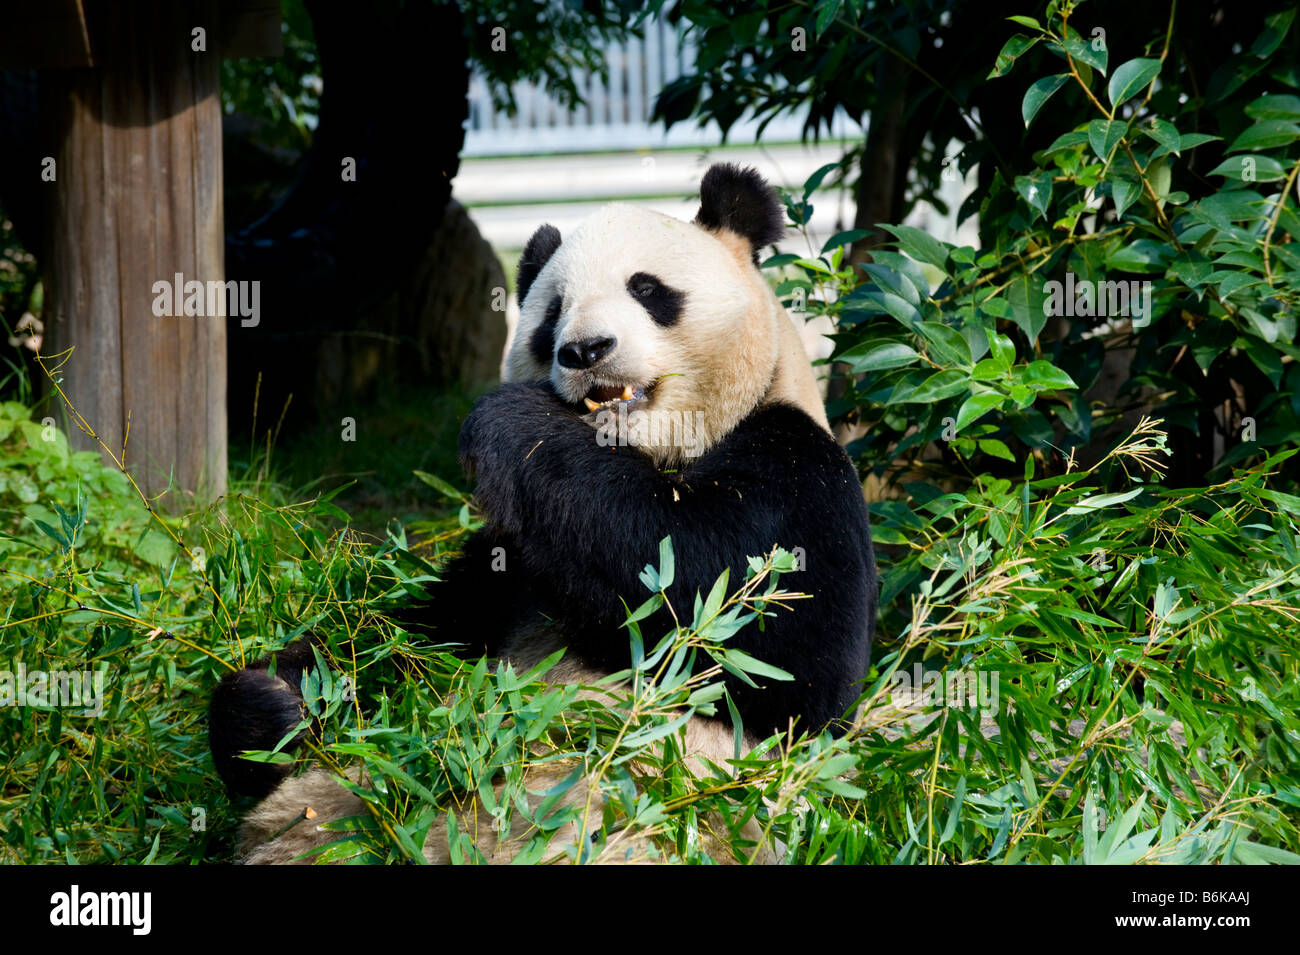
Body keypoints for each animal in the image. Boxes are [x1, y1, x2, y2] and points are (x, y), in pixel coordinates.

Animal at [208, 163, 878, 864]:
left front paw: (516, 421)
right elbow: (410, 643)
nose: (584, 350)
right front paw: (277, 697)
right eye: (552, 313)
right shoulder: (512, 560)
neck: (647, 453)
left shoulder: (798, 470)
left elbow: (753, 621)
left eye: (647, 289)